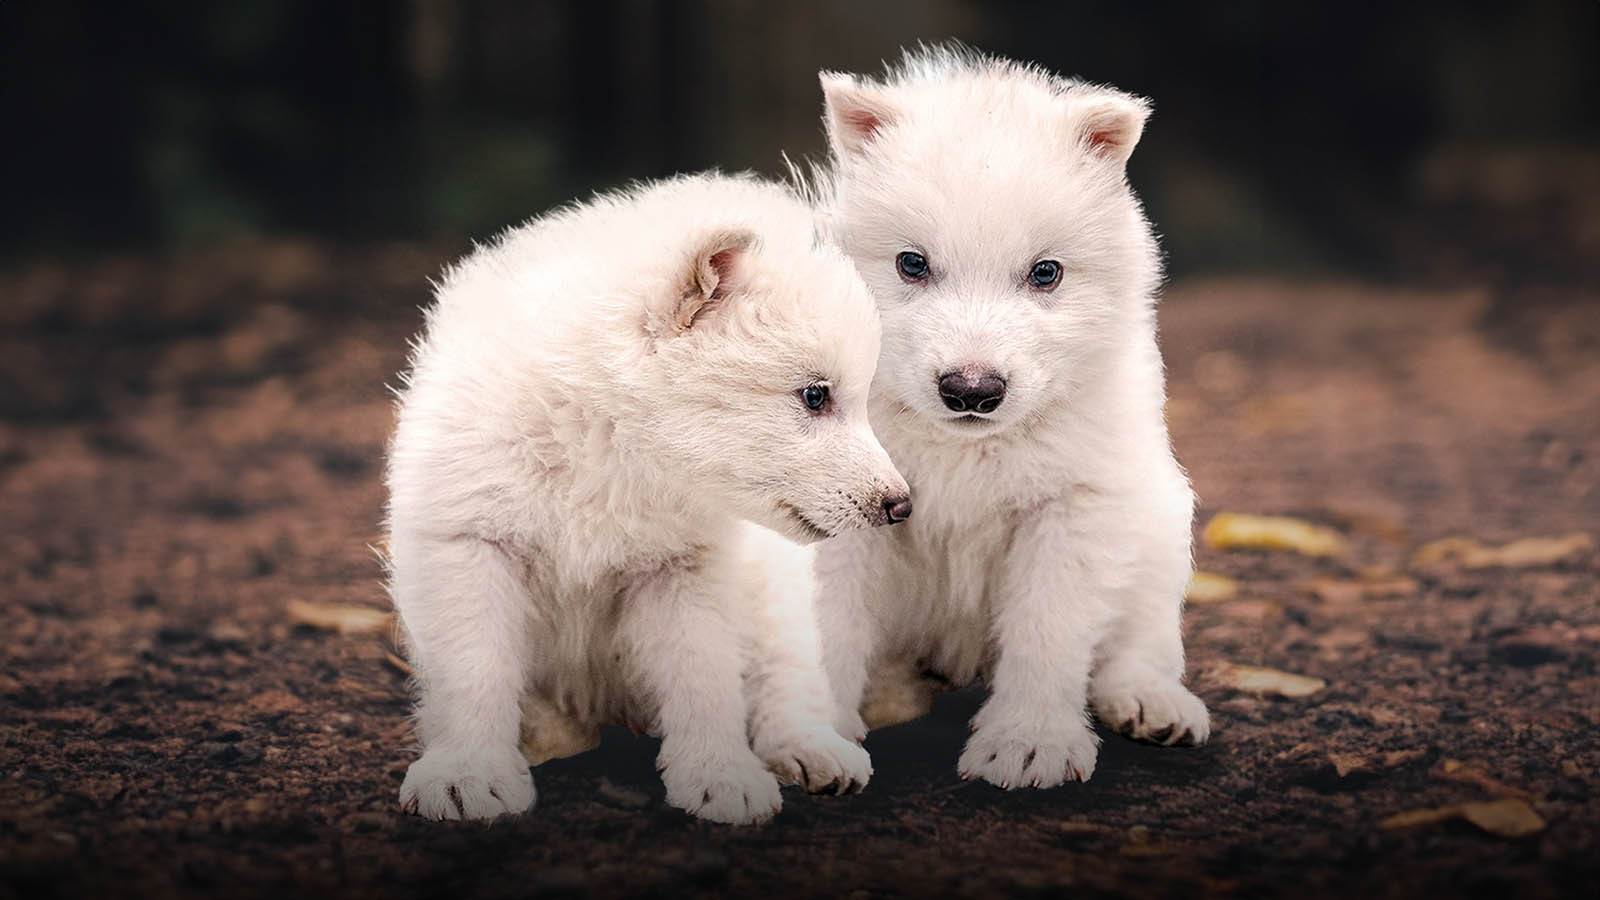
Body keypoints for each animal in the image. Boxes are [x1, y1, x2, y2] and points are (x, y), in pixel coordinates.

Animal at [386, 173, 910, 823]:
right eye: (815, 395)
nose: (900, 504)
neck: (607, 448)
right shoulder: (468, 545)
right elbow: (473, 668)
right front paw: (468, 771)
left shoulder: (687, 567)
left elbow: (702, 676)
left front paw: (719, 775)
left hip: (771, 591)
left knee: (788, 673)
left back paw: (811, 747)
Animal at [807, 46, 1209, 790]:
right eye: (912, 263)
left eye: (1045, 273)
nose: (971, 390)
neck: (962, 448)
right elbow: (825, 624)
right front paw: (814, 738)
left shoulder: (1074, 506)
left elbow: (1049, 629)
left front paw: (1028, 744)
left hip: (1160, 518)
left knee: (1142, 634)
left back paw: (1152, 702)